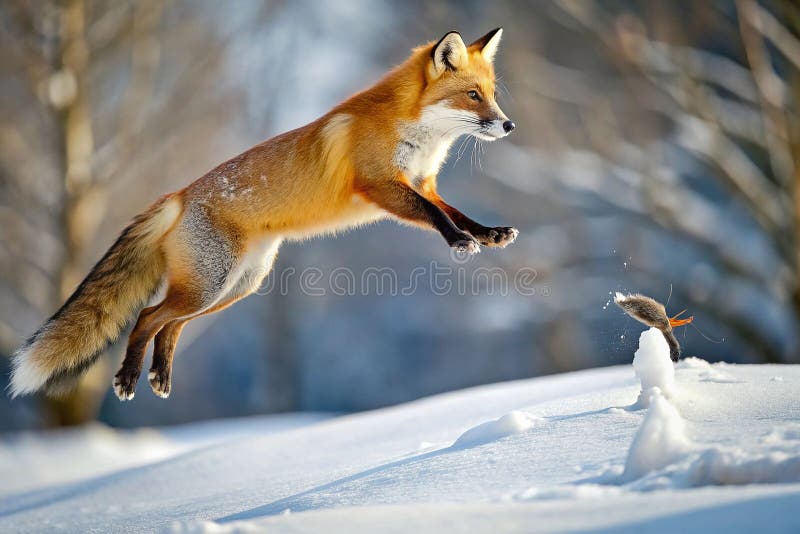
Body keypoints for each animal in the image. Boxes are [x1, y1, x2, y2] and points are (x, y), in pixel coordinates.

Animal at [10, 28, 518, 401]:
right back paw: (129, 378)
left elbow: (454, 210)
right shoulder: (382, 187)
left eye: (492, 94)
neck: (418, 136)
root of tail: (178, 194)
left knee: (169, 324)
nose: (509, 124)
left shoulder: (423, 182)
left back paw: (159, 376)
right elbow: (435, 216)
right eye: (473, 95)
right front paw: (459, 242)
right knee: (148, 317)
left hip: (236, 286)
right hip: (211, 284)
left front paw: (489, 233)